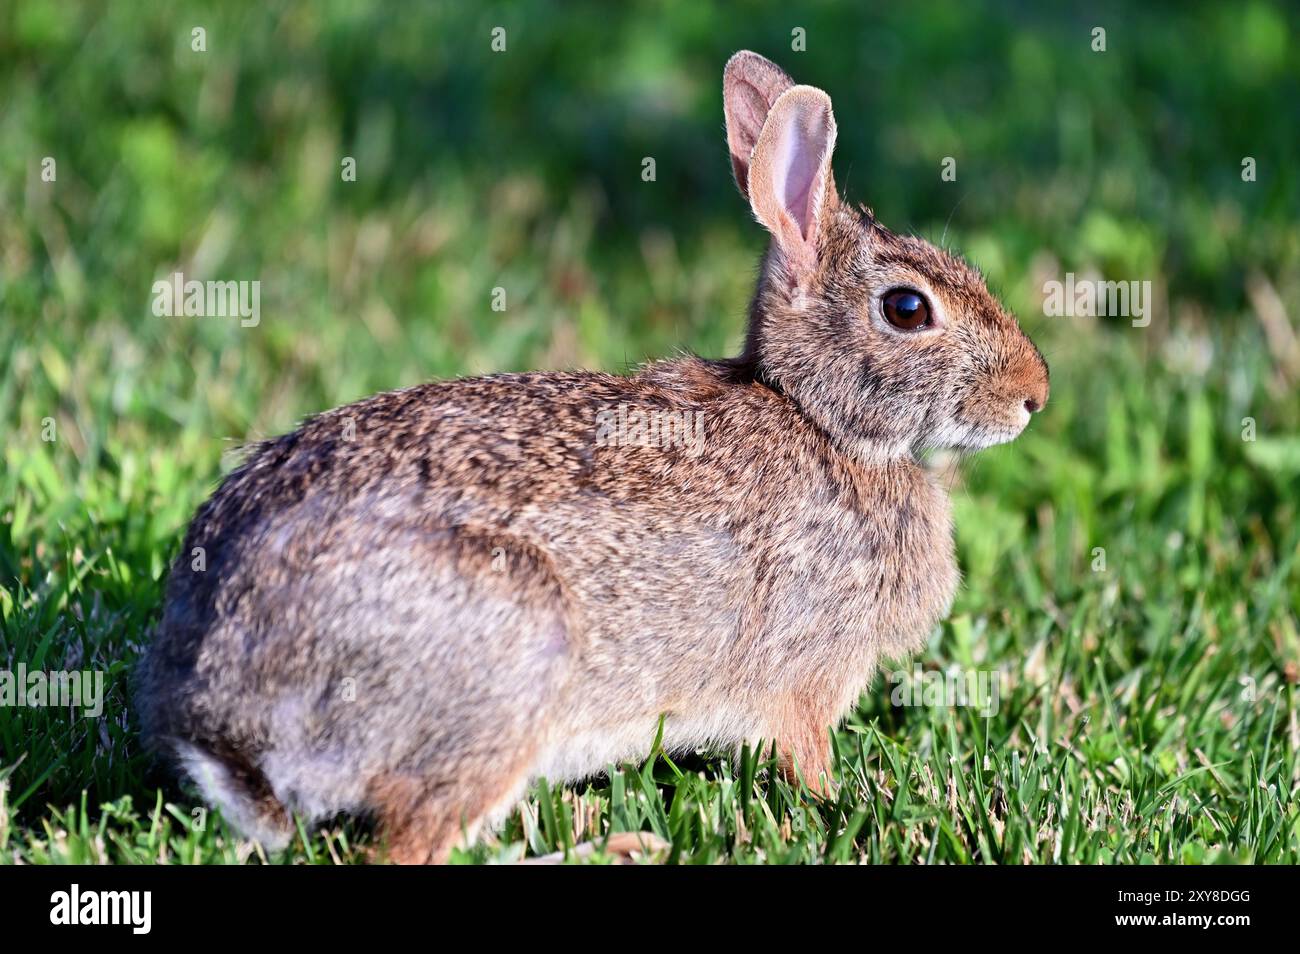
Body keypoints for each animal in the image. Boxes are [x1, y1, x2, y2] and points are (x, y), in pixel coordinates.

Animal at [135, 50, 1048, 863]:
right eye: (907, 309)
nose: (1034, 394)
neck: (817, 418)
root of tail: (226, 722)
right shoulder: (804, 684)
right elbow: (808, 761)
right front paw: (844, 804)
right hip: (508, 671)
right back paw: (617, 845)